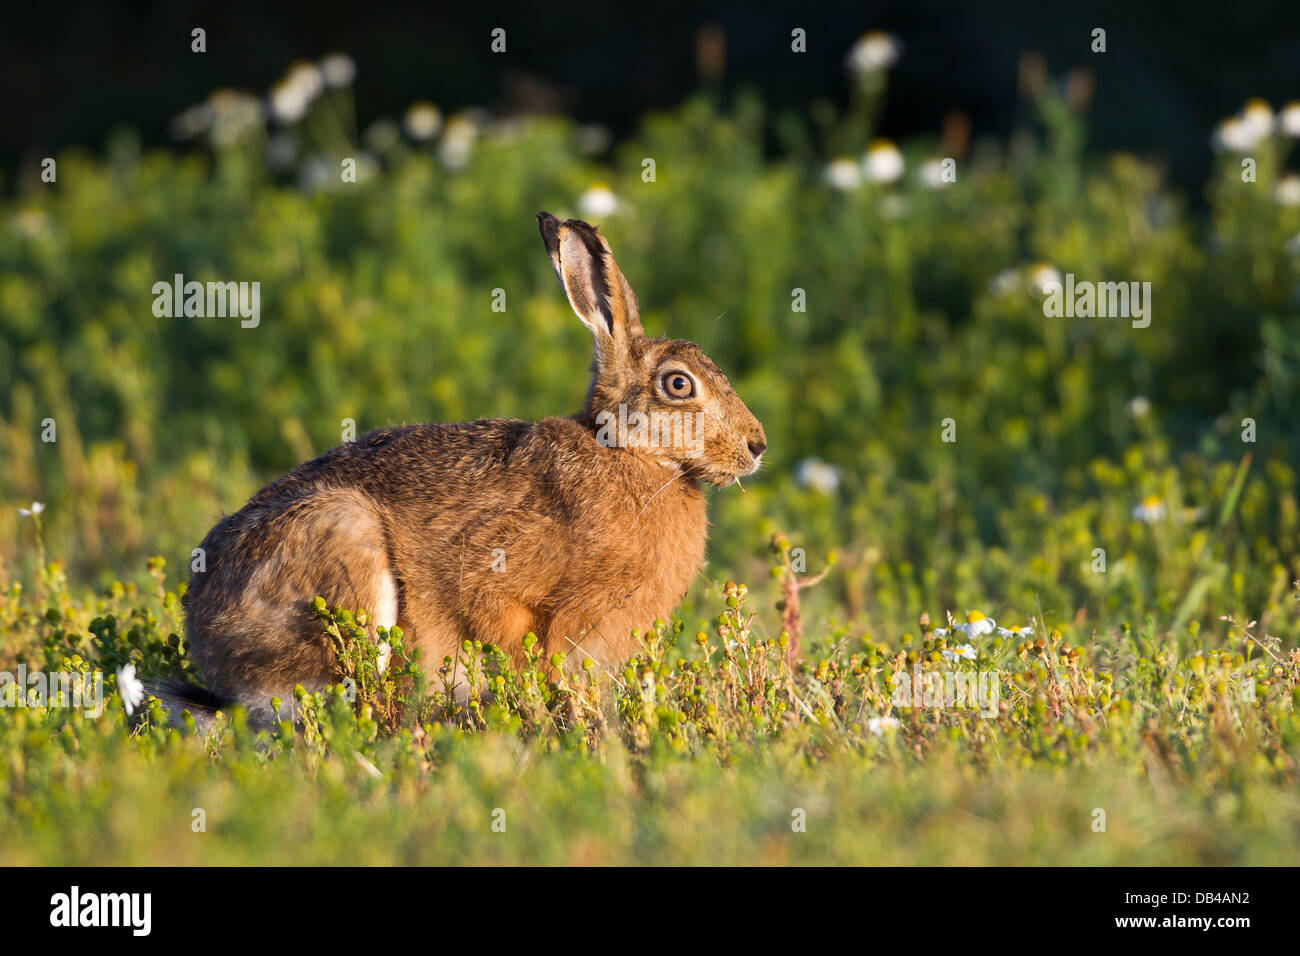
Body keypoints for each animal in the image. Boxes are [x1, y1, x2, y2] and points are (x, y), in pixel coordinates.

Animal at [163, 212, 766, 727]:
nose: (757, 446)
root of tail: (209, 642)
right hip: (341, 542)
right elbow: (506, 630)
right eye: (679, 384)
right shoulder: (499, 572)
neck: (627, 452)